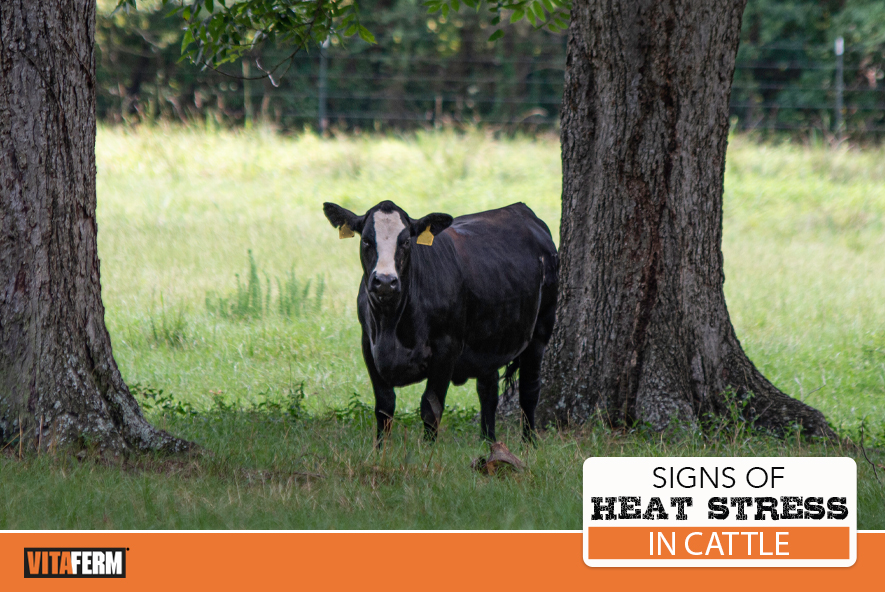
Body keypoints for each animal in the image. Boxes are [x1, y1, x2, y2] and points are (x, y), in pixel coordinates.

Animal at [323, 200, 557, 446]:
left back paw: (528, 444)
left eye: (406, 241)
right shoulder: (369, 346)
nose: (385, 281)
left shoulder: (446, 349)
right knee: (488, 391)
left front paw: (428, 451)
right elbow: (384, 408)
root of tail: (522, 209)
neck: (391, 323)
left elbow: (430, 408)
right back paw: (488, 443)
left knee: (529, 391)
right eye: (366, 240)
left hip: (541, 329)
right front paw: (381, 450)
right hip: (488, 341)